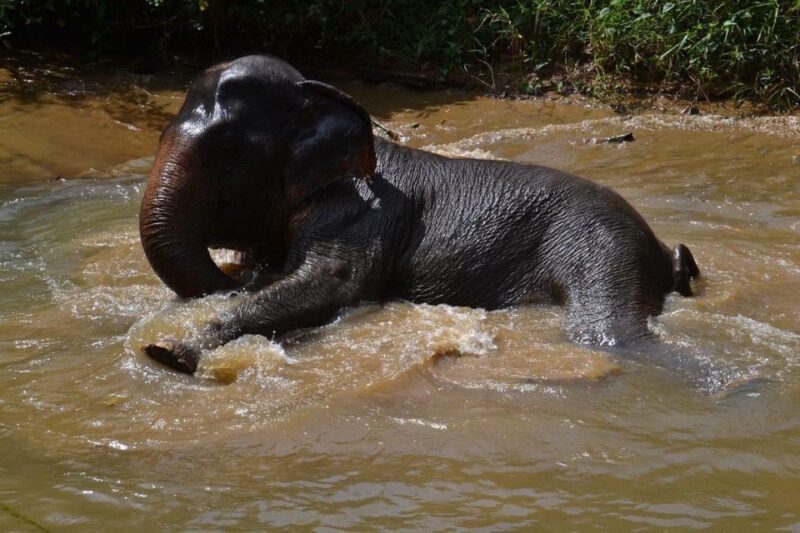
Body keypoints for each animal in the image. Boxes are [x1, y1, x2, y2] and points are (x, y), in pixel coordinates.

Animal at [140, 55, 701, 378]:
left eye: (228, 150)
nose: (239, 278)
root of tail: (661, 248)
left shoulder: (365, 214)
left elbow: (335, 284)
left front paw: (167, 350)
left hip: (602, 250)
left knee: (609, 325)